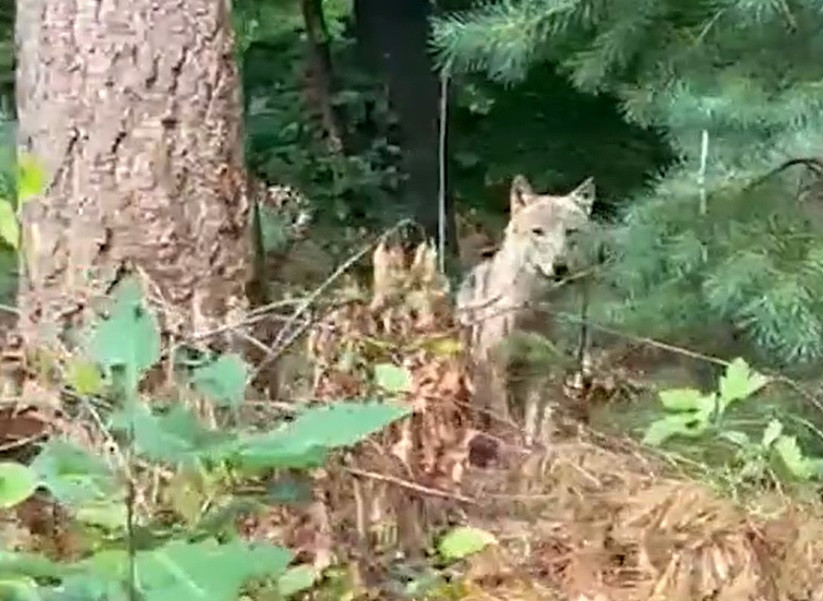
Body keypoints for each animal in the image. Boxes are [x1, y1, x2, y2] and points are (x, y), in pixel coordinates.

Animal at [456, 174, 595, 439]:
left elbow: (535, 419)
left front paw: (531, 442)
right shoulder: (497, 364)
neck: (536, 305)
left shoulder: (544, 369)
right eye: (538, 232)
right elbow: (503, 419)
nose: (560, 267)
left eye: (570, 232)